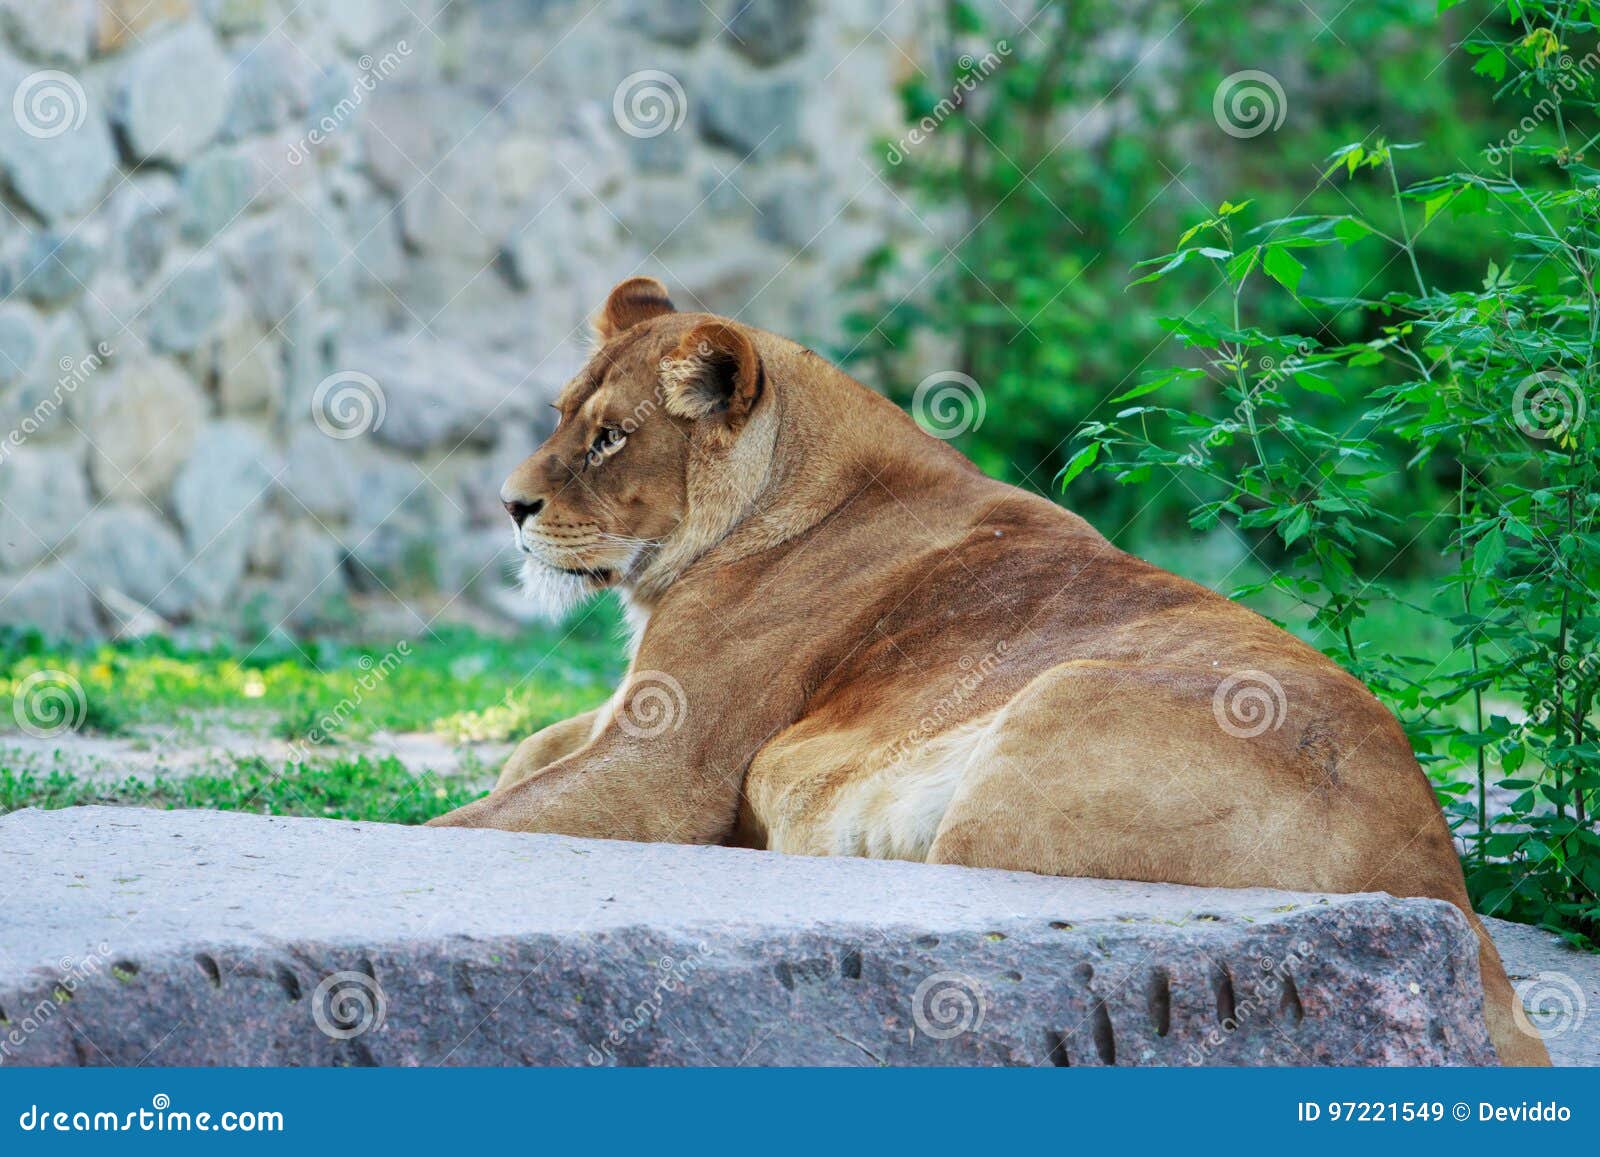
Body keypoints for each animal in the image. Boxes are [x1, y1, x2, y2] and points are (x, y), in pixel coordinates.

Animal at [429, 276, 1548, 1066]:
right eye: (562, 414)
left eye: (610, 437)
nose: (509, 504)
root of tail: (1447, 902)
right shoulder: (622, 712)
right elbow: (522, 754)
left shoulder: (670, 770)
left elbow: (476, 821)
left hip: (1050, 714)